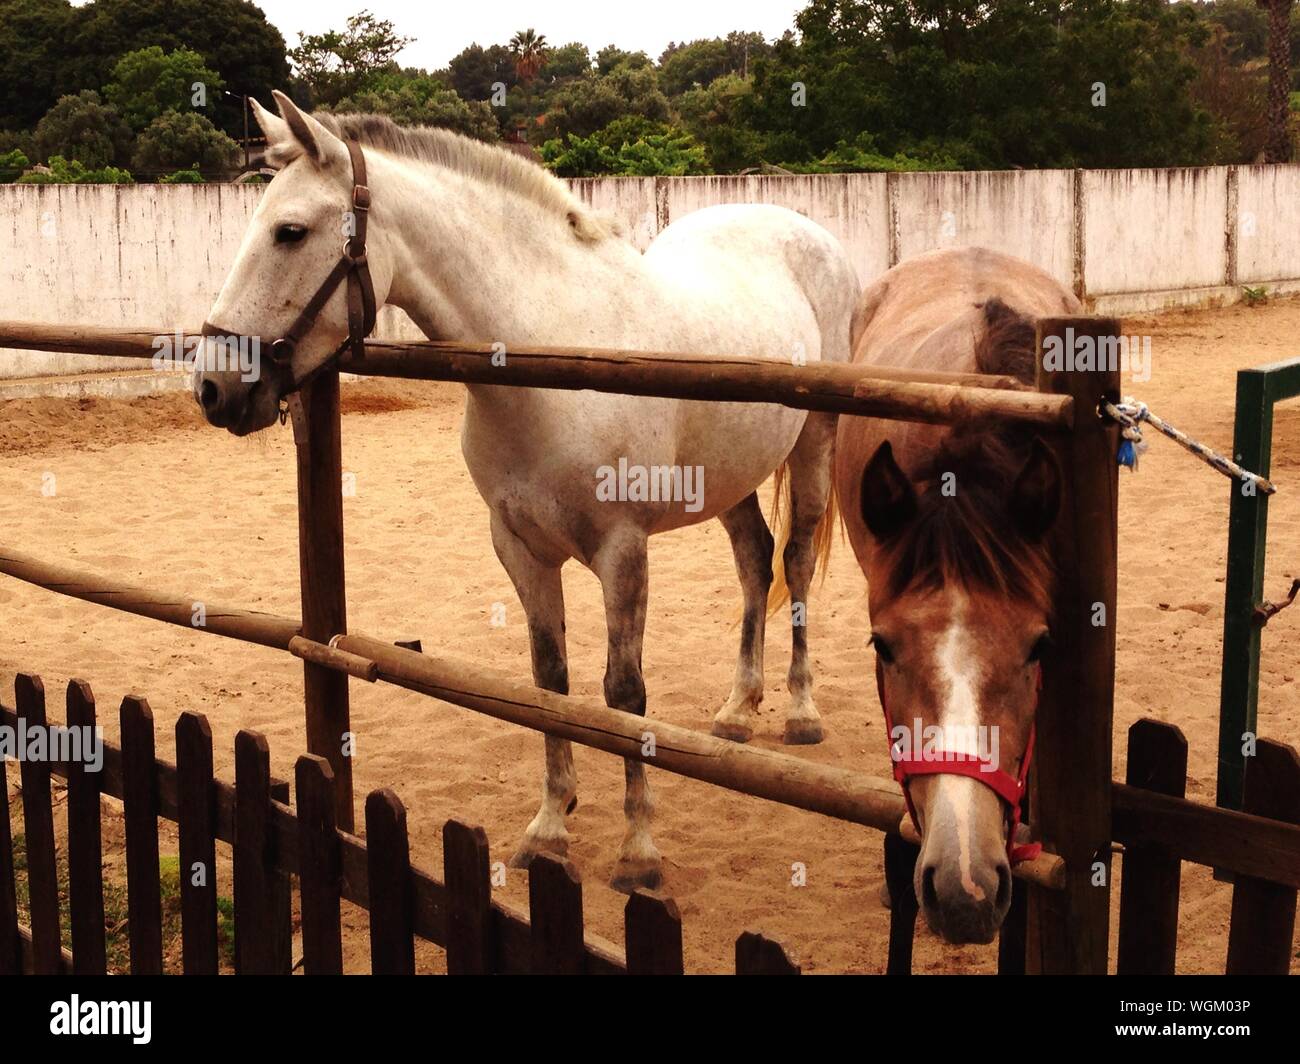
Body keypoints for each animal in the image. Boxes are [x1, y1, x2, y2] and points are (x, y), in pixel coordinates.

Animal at [193, 92, 859, 892]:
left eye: (289, 232)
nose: (214, 388)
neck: (551, 353)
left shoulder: (621, 552)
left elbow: (623, 694)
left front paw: (639, 850)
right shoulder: (519, 547)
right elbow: (549, 683)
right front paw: (550, 828)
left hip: (815, 439)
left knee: (794, 561)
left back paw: (799, 711)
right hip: (734, 471)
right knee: (755, 562)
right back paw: (736, 710)